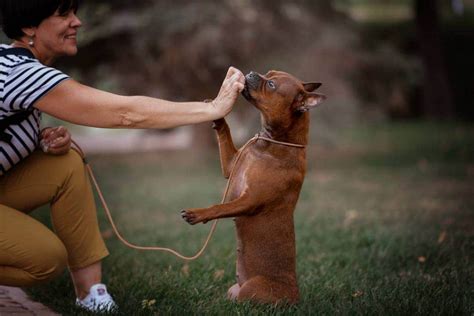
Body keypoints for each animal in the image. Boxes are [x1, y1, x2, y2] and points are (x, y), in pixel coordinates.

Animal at [181, 69, 326, 304]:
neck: (271, 143)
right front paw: (218, 113)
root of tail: (295, 295)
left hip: (250, 289)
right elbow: (225, 134)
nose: (251, 73)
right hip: (234, 289)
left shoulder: (249, 200)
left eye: (272, 85)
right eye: (269, 73)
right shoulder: (231, 166)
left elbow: (220, 207)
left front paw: (198, 213)